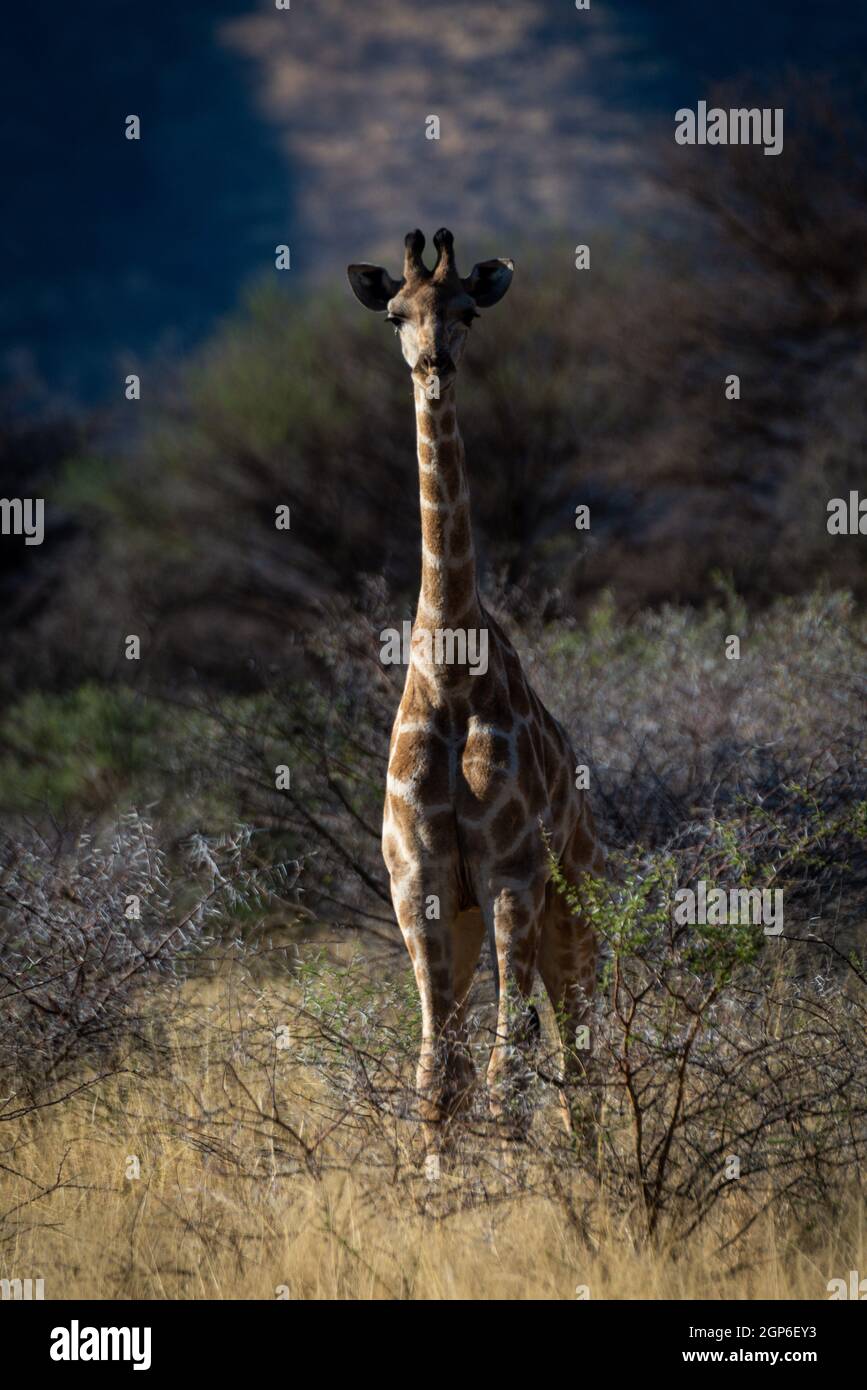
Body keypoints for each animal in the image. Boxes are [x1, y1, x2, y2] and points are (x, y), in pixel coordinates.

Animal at [348, 229, 604, 1150]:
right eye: (395, 313)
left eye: (465, 310)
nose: (434, 362)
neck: (450, 668)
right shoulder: (420, 885)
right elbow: (436, 1077)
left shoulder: (512, 876)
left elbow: (504, 1073)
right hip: (463, 923)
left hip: (577, 911)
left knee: (576, 1063)